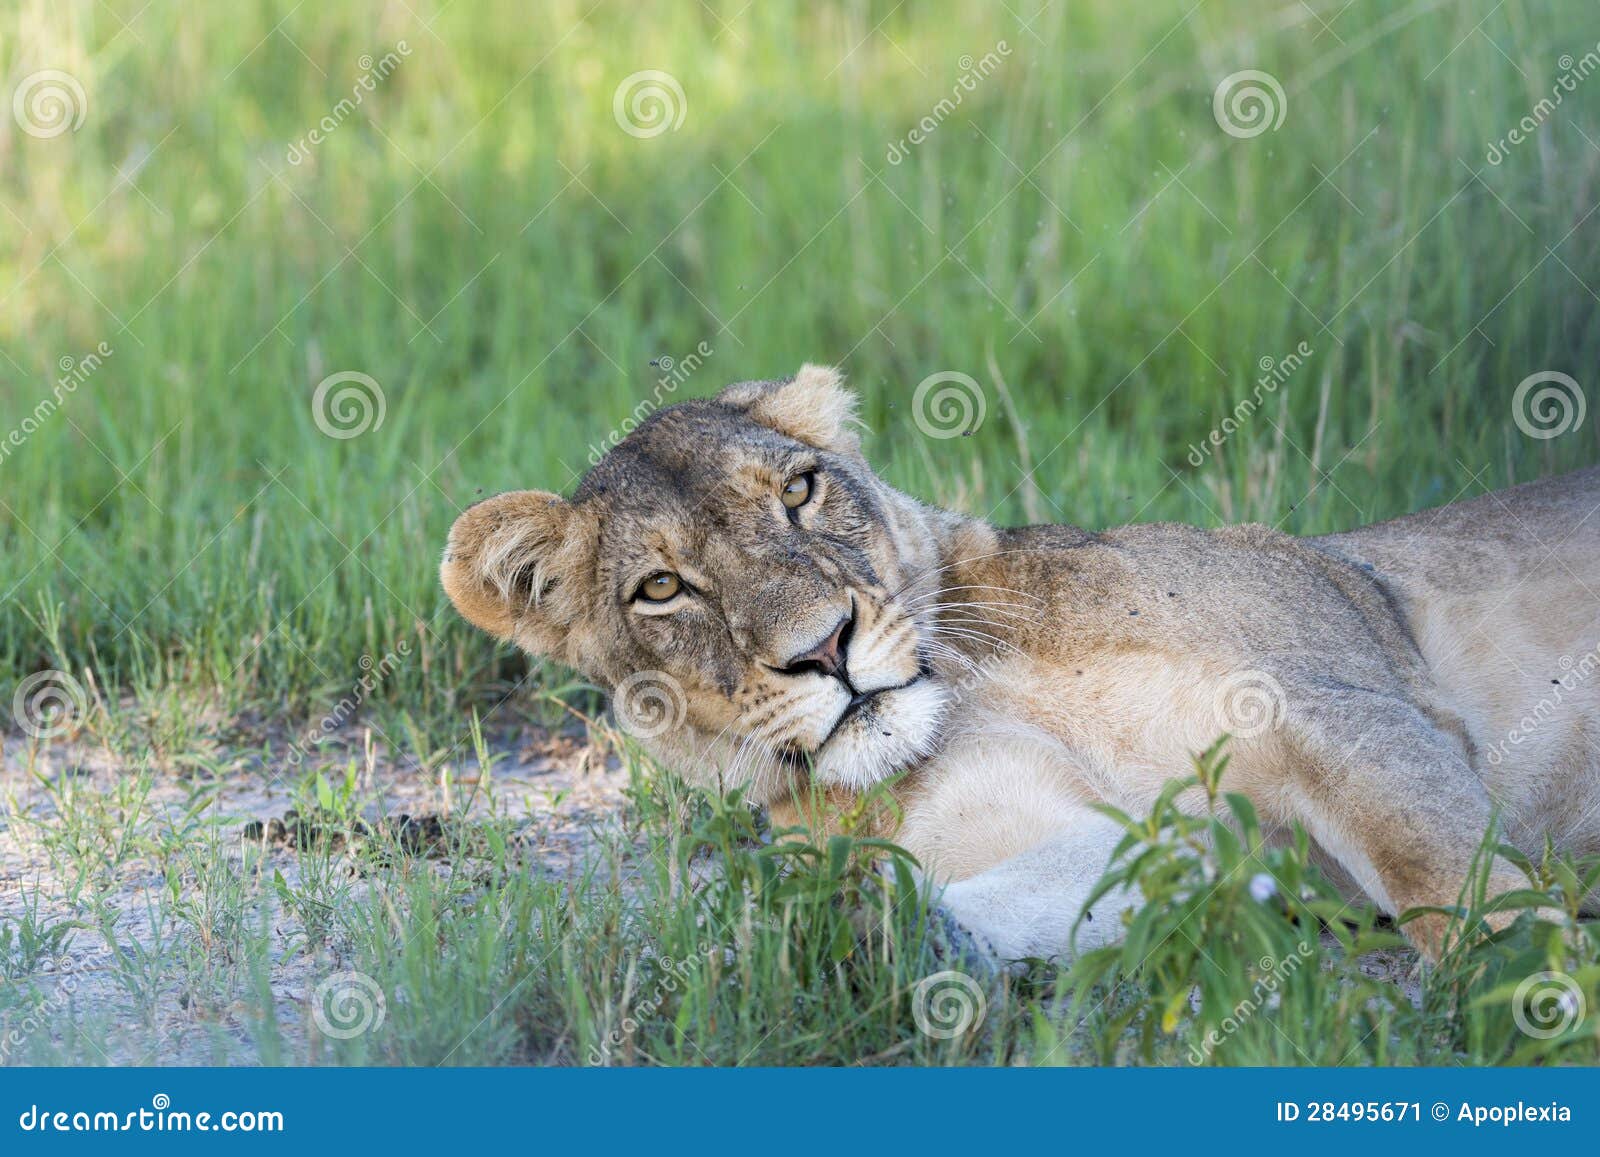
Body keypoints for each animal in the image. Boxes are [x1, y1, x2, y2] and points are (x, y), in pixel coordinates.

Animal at [442, 364, 1600, 962]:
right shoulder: (1077, 838)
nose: (825, 647)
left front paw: (1526, 997)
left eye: (800, 491)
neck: (967, 682)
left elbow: (1443, 871)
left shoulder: (1332, 700)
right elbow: (972, 902)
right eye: (661, 588)